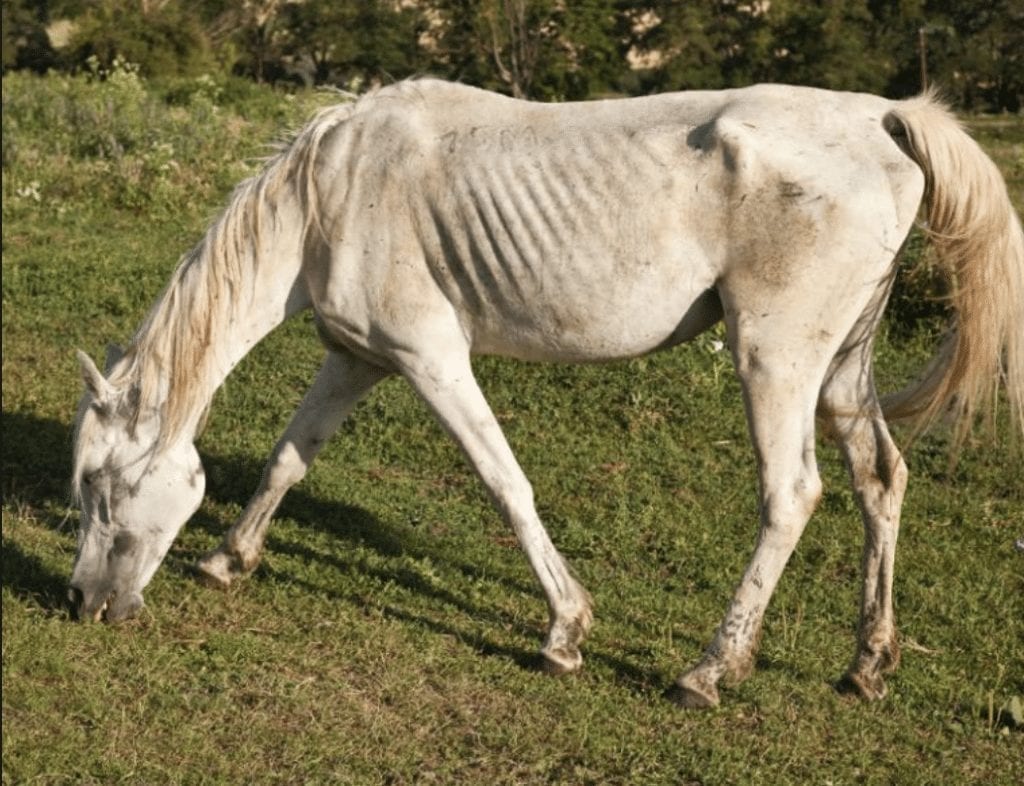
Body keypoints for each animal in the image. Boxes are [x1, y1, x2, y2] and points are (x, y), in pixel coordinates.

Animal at [70, 79, 1023, 708]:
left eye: (104, 488)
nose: (82, 605)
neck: (331, 191)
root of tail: (879, 116)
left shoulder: (432, 358)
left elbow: (506, 485)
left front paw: (565, 633)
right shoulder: (357, 358)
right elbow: (286, 460)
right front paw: (229, 559)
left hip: (776, 360)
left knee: (791, 495)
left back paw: (709, 672)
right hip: (841, 368)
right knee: (878, 479)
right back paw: (867, 664)